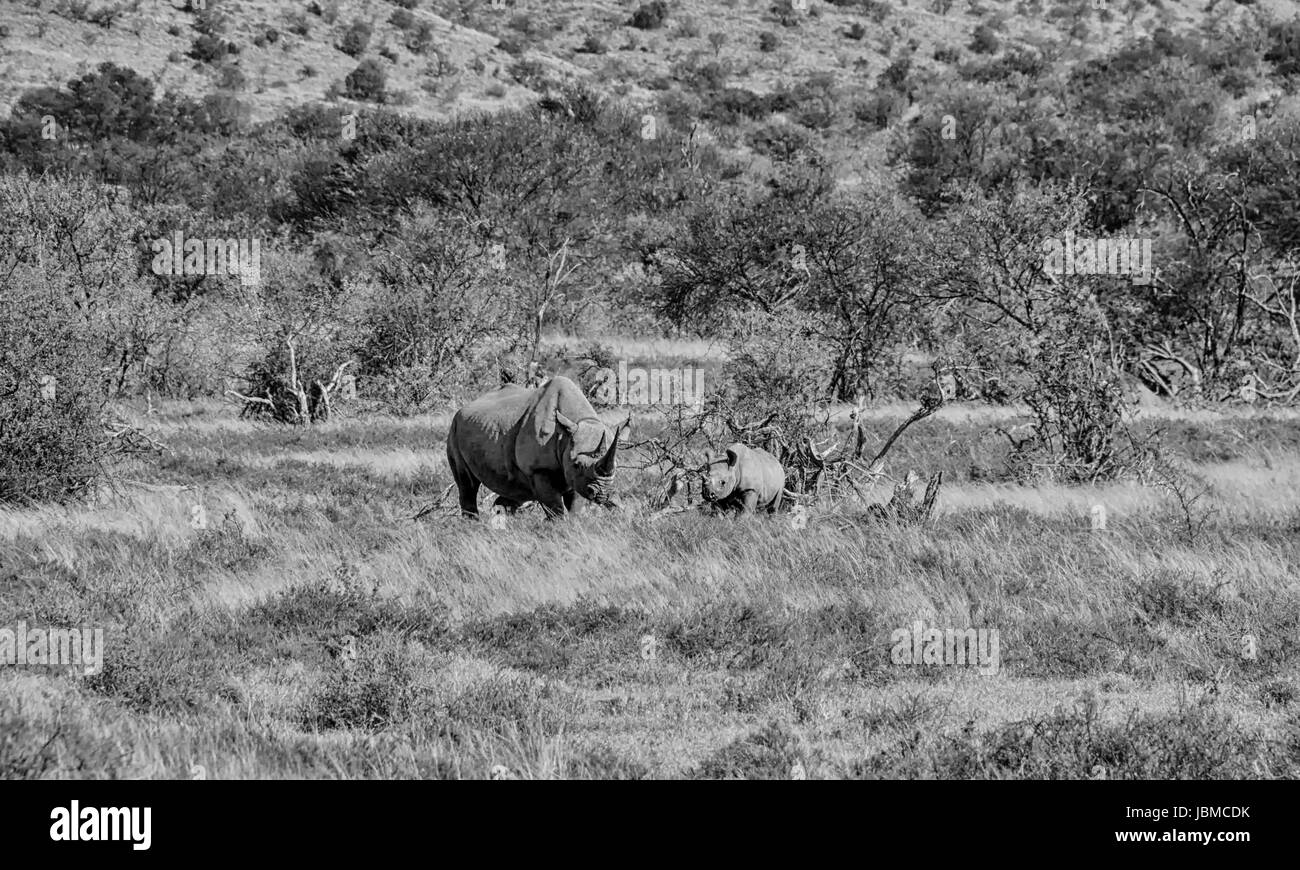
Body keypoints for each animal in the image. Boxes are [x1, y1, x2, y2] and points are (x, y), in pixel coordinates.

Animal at [447, 376, 630, 519]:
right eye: (577, 464)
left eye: (617, 467)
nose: (603, 493)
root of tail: (462, 409)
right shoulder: (539, 469)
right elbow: (555, 510)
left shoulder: (578, 478)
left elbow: (575, 507)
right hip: (454, 430)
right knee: (467, 484)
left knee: (512, 491)